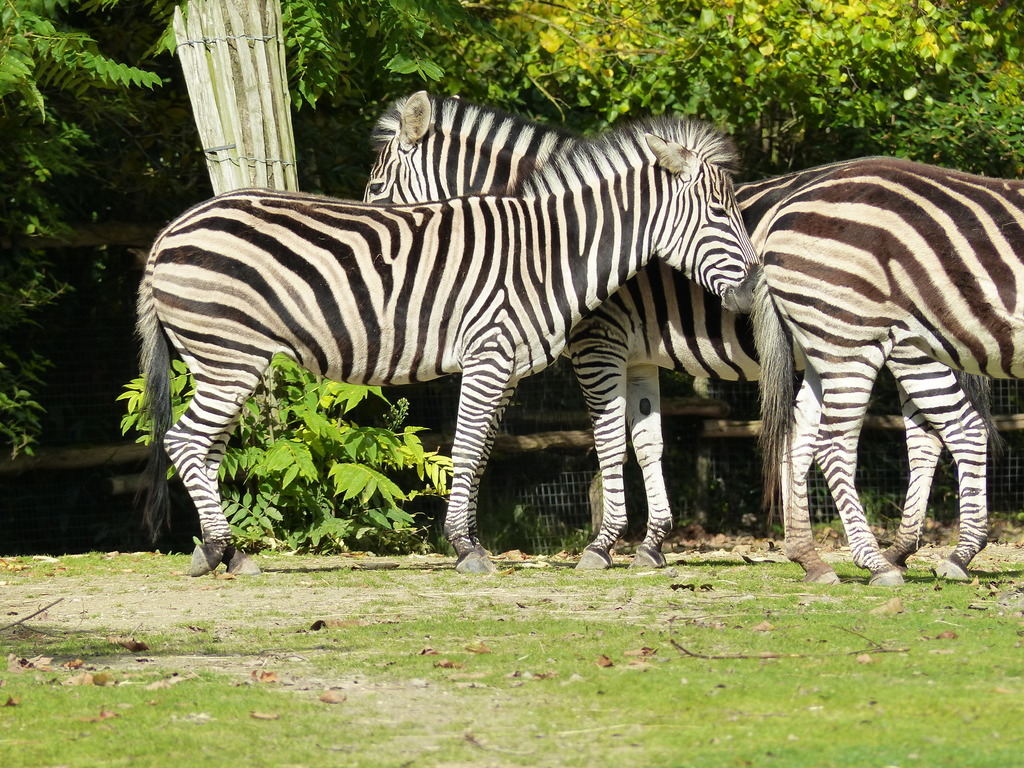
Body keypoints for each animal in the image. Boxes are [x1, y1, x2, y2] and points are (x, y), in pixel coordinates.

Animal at [136, 115, 758, 577]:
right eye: (719, 212)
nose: (756, 291)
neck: (550, 251)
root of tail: (167, 234)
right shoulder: (493, 353)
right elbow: (467, 447)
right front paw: (467, 548)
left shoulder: (508, 366)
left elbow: (480, 454)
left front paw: (468, 541)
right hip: (227, 354)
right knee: (185, 441)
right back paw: (222, 551)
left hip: (220, 359)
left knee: (205, 448)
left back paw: (226, 552)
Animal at [365, 92, 992, 584]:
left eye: (374, 190)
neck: (559, 234)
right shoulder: (637, 357)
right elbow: (648, 442)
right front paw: (652, 544)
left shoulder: (599, 345)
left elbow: (608, 444)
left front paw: (602, 546)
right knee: (926, 434)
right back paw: (903, 548)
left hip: (902, 344)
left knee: (958, 428)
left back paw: (957, 555)